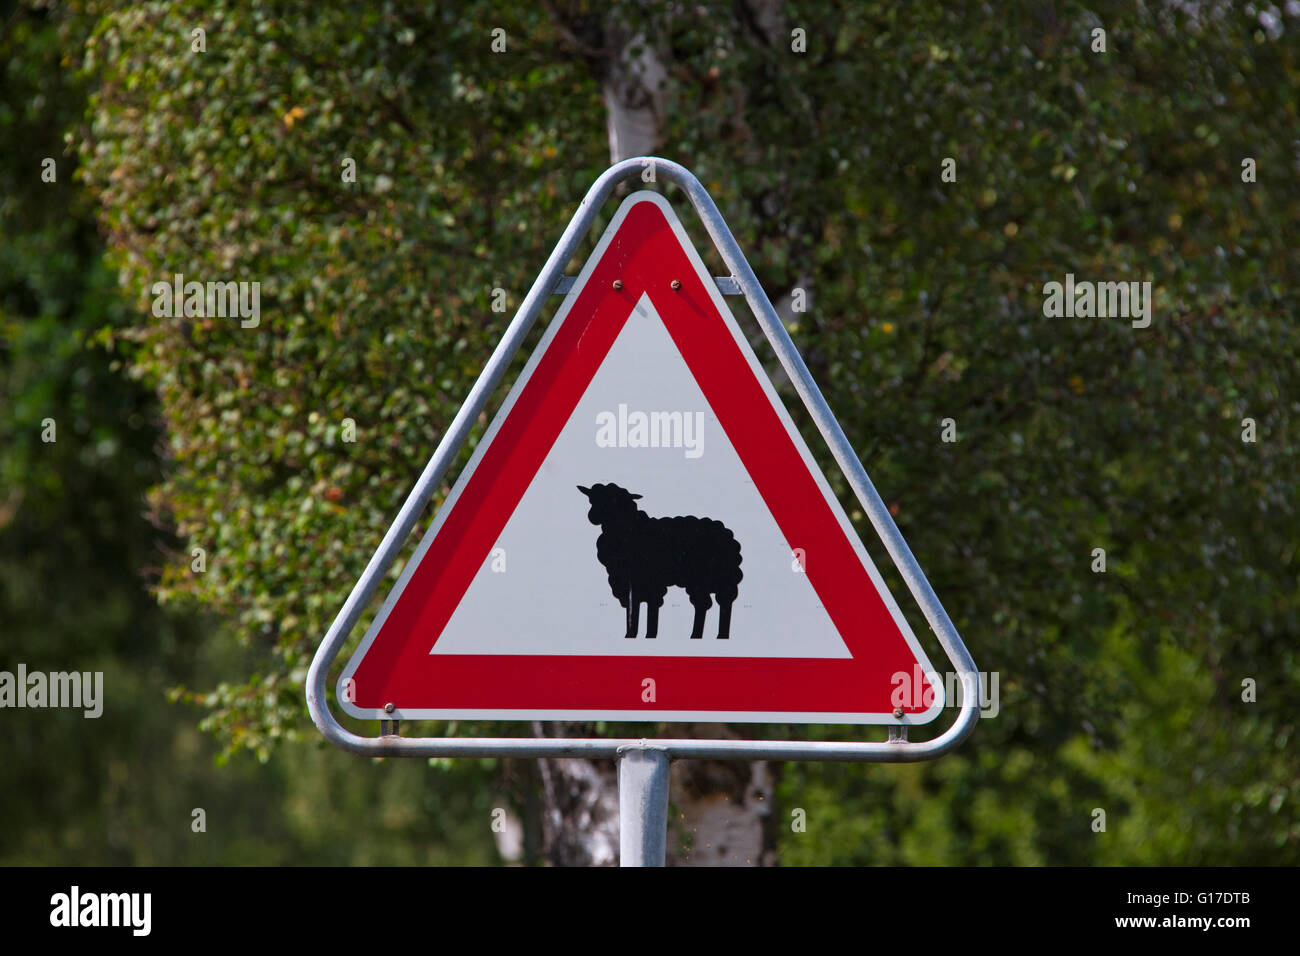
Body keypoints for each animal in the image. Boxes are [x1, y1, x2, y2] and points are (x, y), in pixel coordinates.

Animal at [577, 483, 743, 640]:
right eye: (591, 499)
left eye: (614, 501)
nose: (592, 516)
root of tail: (726, 532)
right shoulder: (626, 580)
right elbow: (635, 607)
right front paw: (636, 634)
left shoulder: (647, 580)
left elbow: (643, 607)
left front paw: (640, 635)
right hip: (700, 581)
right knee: (703, 604)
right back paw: (697, 636)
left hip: (718, 577)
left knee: (723, 603)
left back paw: (719, 635)